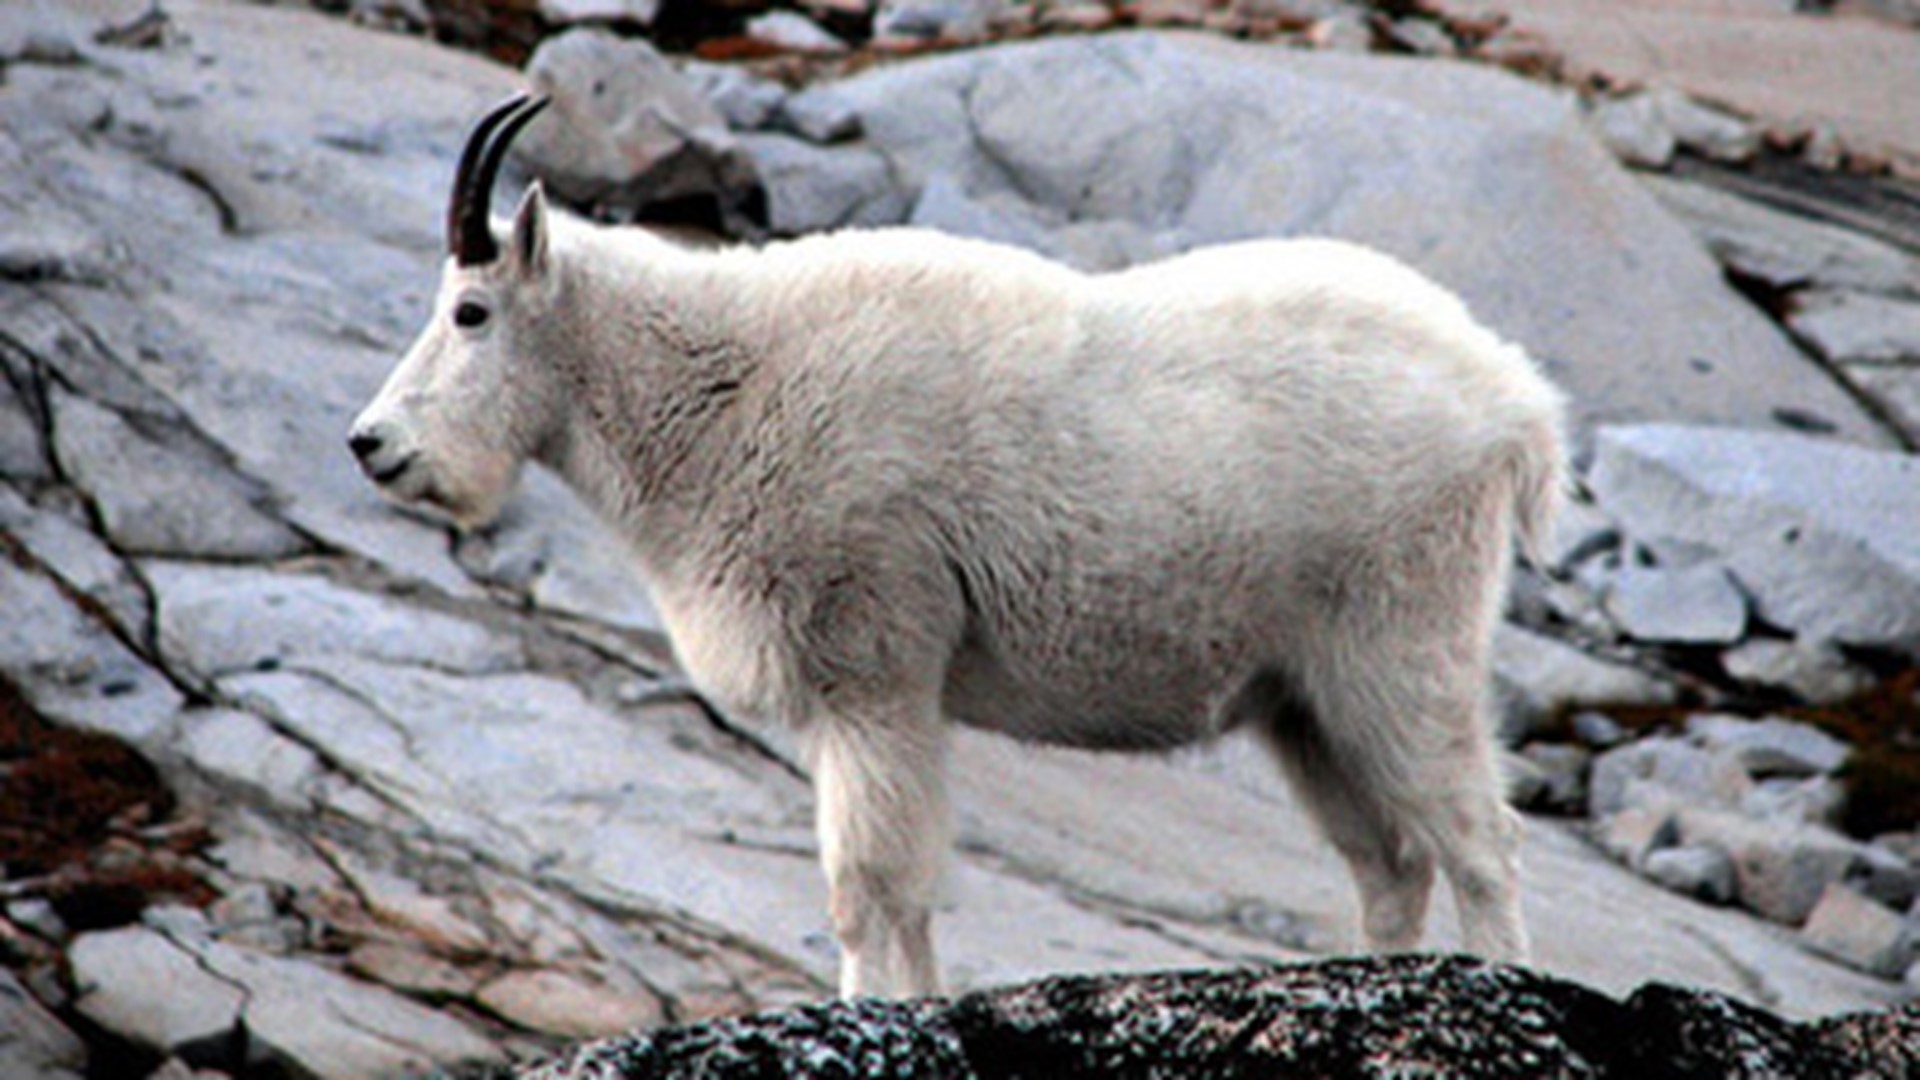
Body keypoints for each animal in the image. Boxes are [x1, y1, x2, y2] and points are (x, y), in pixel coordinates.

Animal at [350, 94, 1568, 998]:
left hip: (1401, 645)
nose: (373, 445)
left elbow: (866, 890)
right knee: (1391, 862)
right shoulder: (894, 698)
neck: (719, 387)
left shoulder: (872, 670)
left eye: (470, 311)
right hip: (1303, 702)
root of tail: (1519, 404)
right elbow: (912, 890)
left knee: (1480, 842)